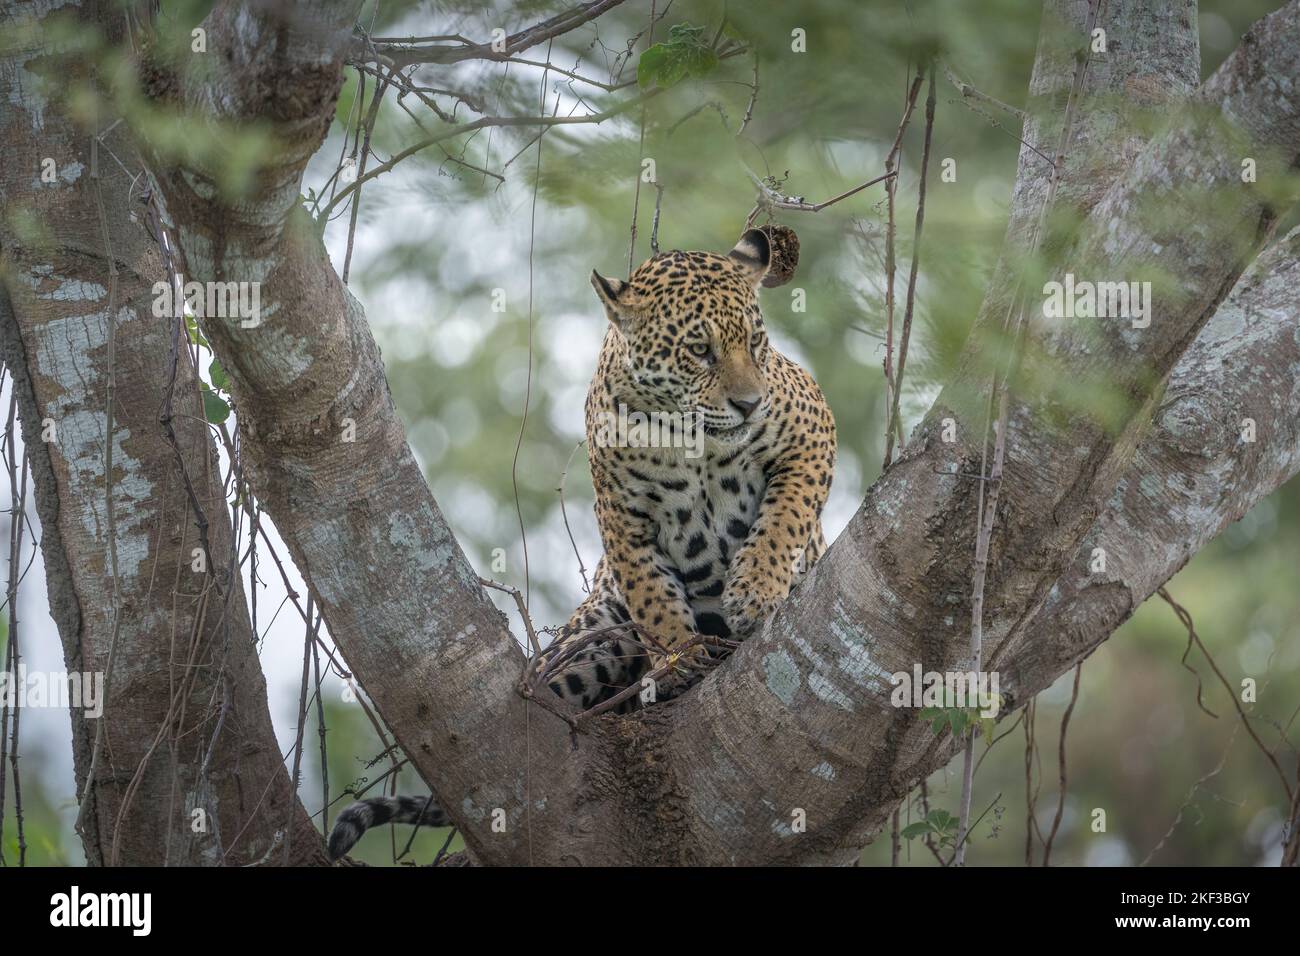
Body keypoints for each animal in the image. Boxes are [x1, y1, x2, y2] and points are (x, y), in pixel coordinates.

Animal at [327, 228, 836, 861]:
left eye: (757, 344)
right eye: (700, 350)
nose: (748, 403)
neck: (691, 434)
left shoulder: (810, 430)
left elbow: (785, 519)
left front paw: (757, 592)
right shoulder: (621, 514)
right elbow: (651, 594)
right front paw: (677, 656)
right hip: (593, 643)